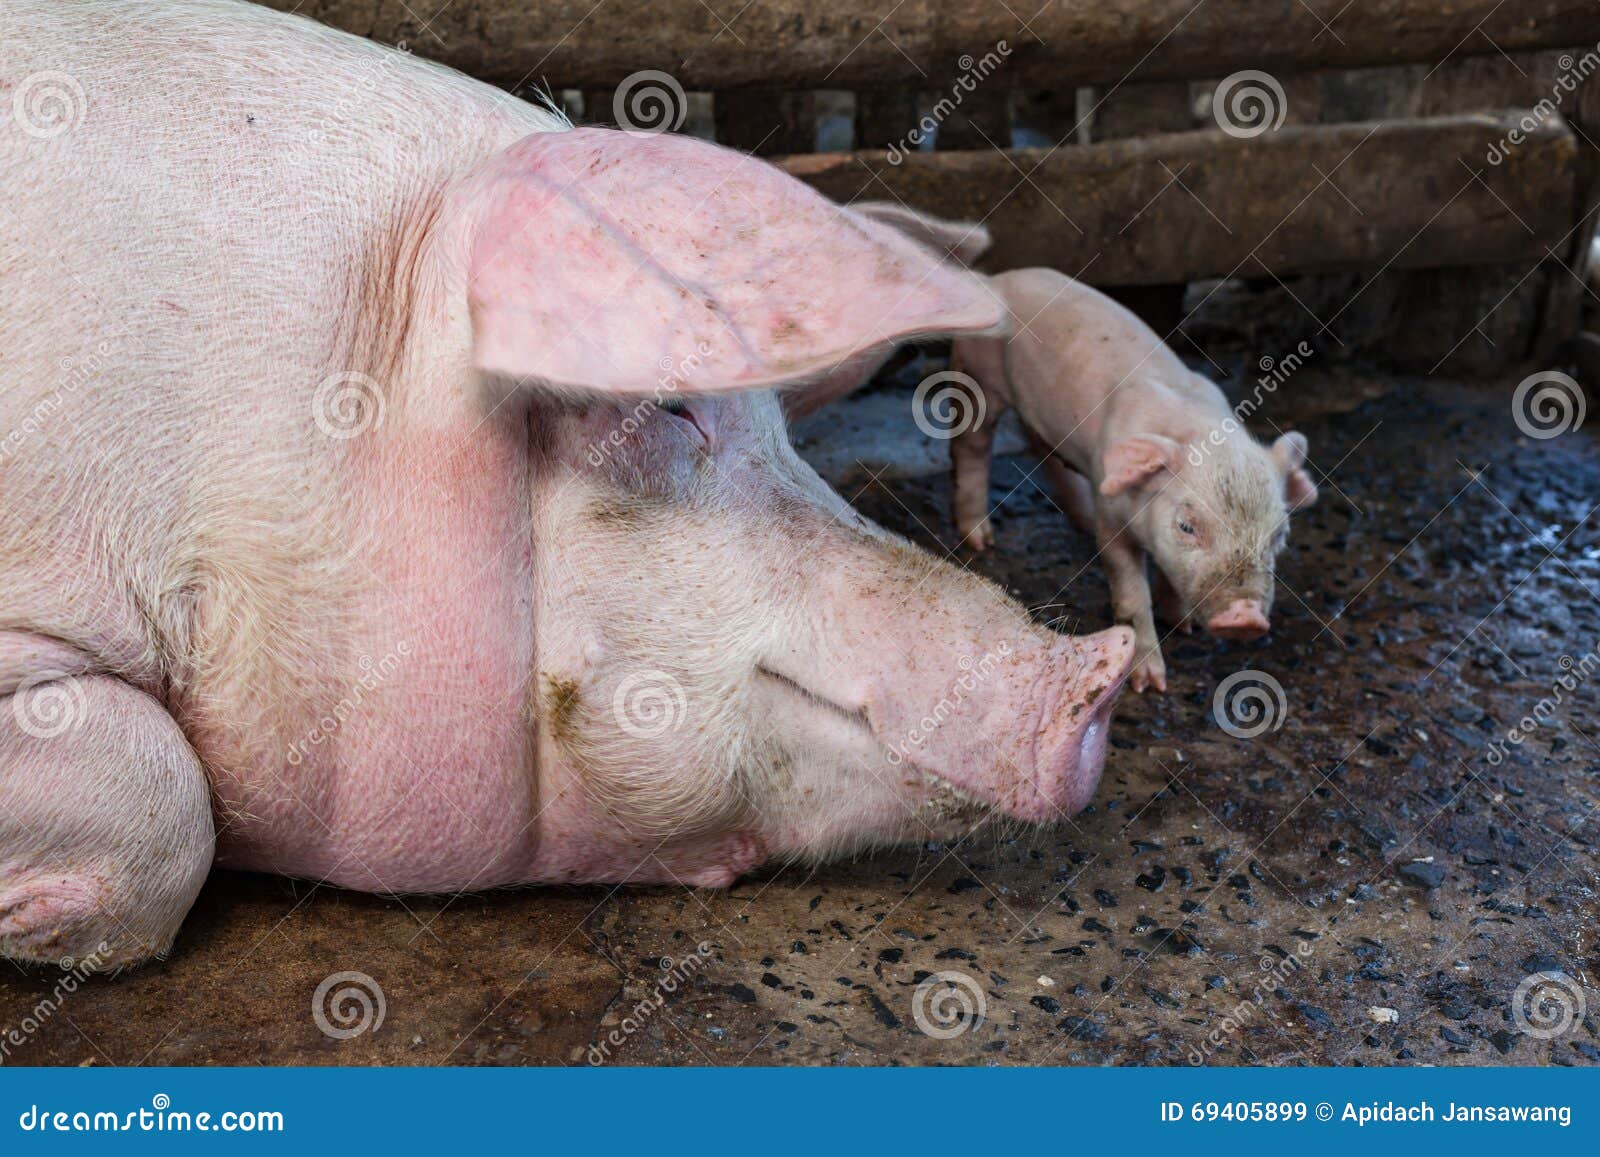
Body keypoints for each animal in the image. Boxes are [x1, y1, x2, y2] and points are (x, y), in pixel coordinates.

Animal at [948, 268, 1318, 693]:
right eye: (1186, 526)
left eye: (1279, 534)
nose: (1244, 617)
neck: (1197, 429)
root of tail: (994, 279)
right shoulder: (1113, 520)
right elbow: (1129, 594)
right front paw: (1150, 684)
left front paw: (1183, 625)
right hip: (978, 376)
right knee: (972, 447)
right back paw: (980, 539)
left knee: (1041, 447)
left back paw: (1080, 520)